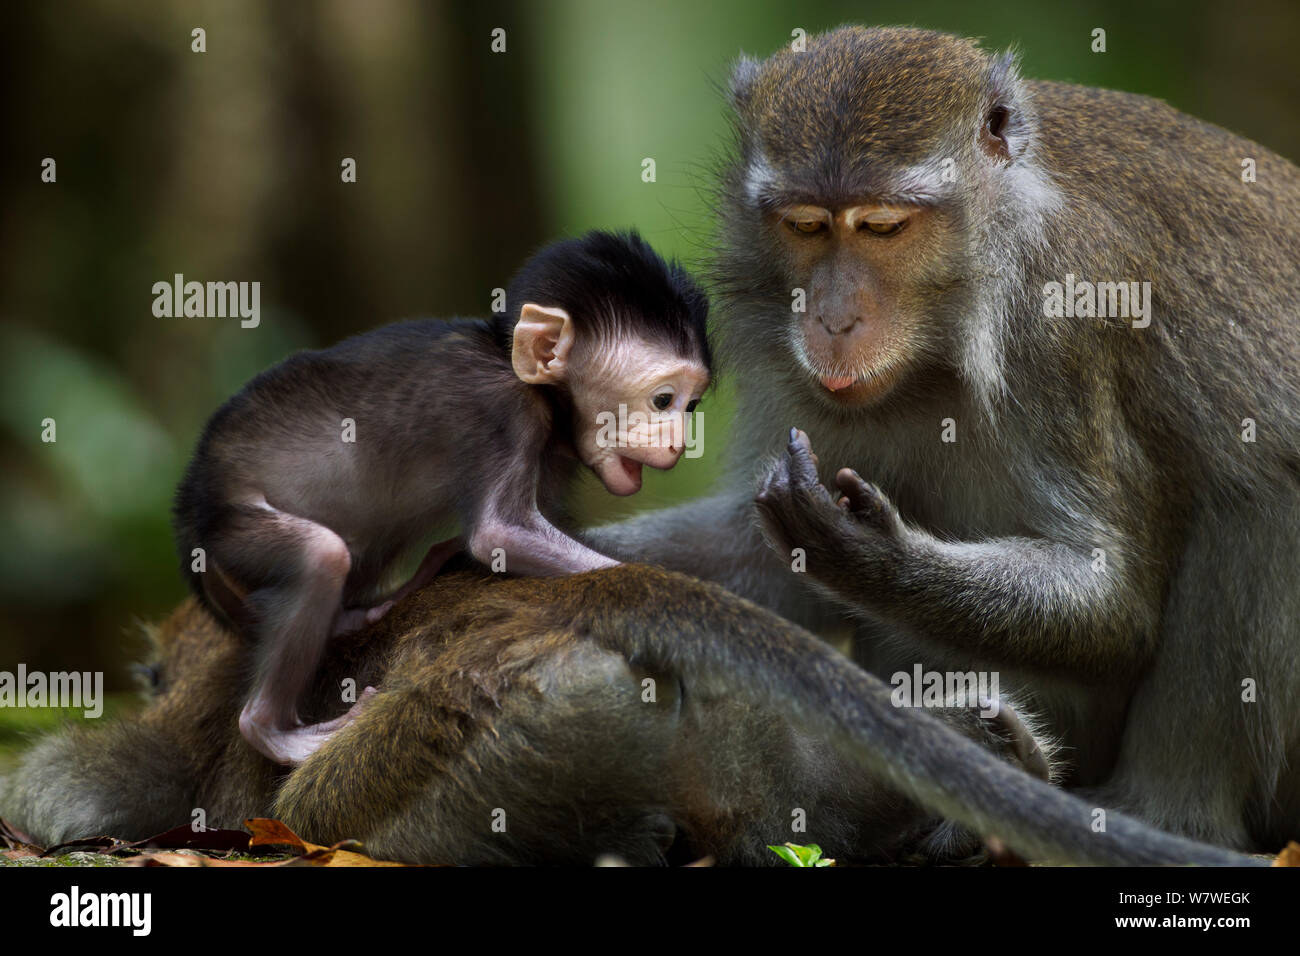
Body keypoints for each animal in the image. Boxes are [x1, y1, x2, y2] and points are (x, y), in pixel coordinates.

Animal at [172, 229, 711, 766]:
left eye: (691, 405)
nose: (678, 442)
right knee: (319, 555)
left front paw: (439, 560)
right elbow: (498, 534)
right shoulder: (507, 412)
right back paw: (269, 729)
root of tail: (191, 503)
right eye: (663, 400)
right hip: (230, 527)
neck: (516, 370)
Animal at [580, 26, 1300, 853]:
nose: (832, 318)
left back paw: (1155, 814)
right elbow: (761, 566)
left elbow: (1112, 600)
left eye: (883, 227)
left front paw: (870, 558)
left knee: (1262, 492)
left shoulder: (1059, 312)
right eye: (804, 225)